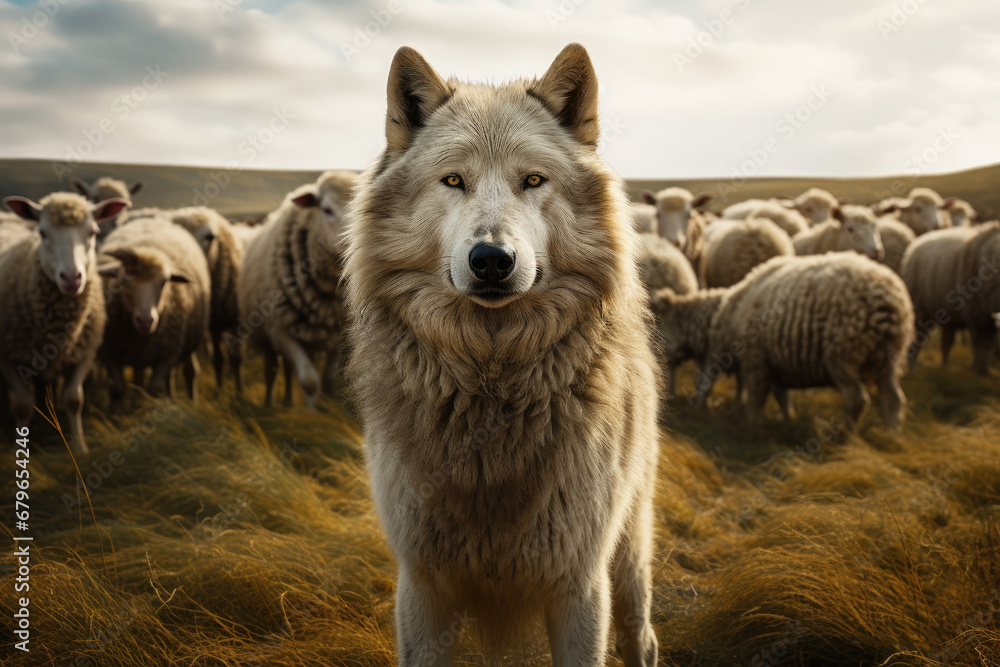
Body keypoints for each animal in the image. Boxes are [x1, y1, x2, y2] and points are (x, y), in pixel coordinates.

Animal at [0, 192, 128, 455]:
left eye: (92, 232)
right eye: (42, 233)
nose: (71, 278)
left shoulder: (84, 352)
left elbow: (73, 400)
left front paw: (80, 448)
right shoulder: (8, 355)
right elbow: (22, 405)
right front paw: (18, 450)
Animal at [98, 216, 211, 403]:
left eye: (164, 282)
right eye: (123, 281)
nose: (146, 321)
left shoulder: (167, 355)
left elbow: (155, 389)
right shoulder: (109, 354)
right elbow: (117, 389)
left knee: (189, 371)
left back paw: (190, 401)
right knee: (138, 376)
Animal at [236, 170, 357, 407]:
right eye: (327, 210)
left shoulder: (339, 336)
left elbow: (328, 380)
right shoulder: (280, 331)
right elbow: (309, 381)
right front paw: (310, 413)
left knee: (289, 370)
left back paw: (289, 401)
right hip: (267, 339)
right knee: (273, 370)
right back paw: (269, 403)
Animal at [342, 44, 660, 666]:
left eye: (533, 180)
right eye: (453, 180)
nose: (492, 259)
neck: (492, 389)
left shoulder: (580, 586)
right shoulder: (421, 585)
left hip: (629, 555)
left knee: (643, 636)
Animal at [900, 222, 1000, 375]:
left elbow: (986, 345)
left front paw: (983, 371)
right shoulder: (978, 314)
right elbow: (982, 345)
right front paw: (980, 372)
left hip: (949, 314)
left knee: (946, 342)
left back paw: (945, 367)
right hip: (920, 309)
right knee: (917, 337)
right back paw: (913, 367)